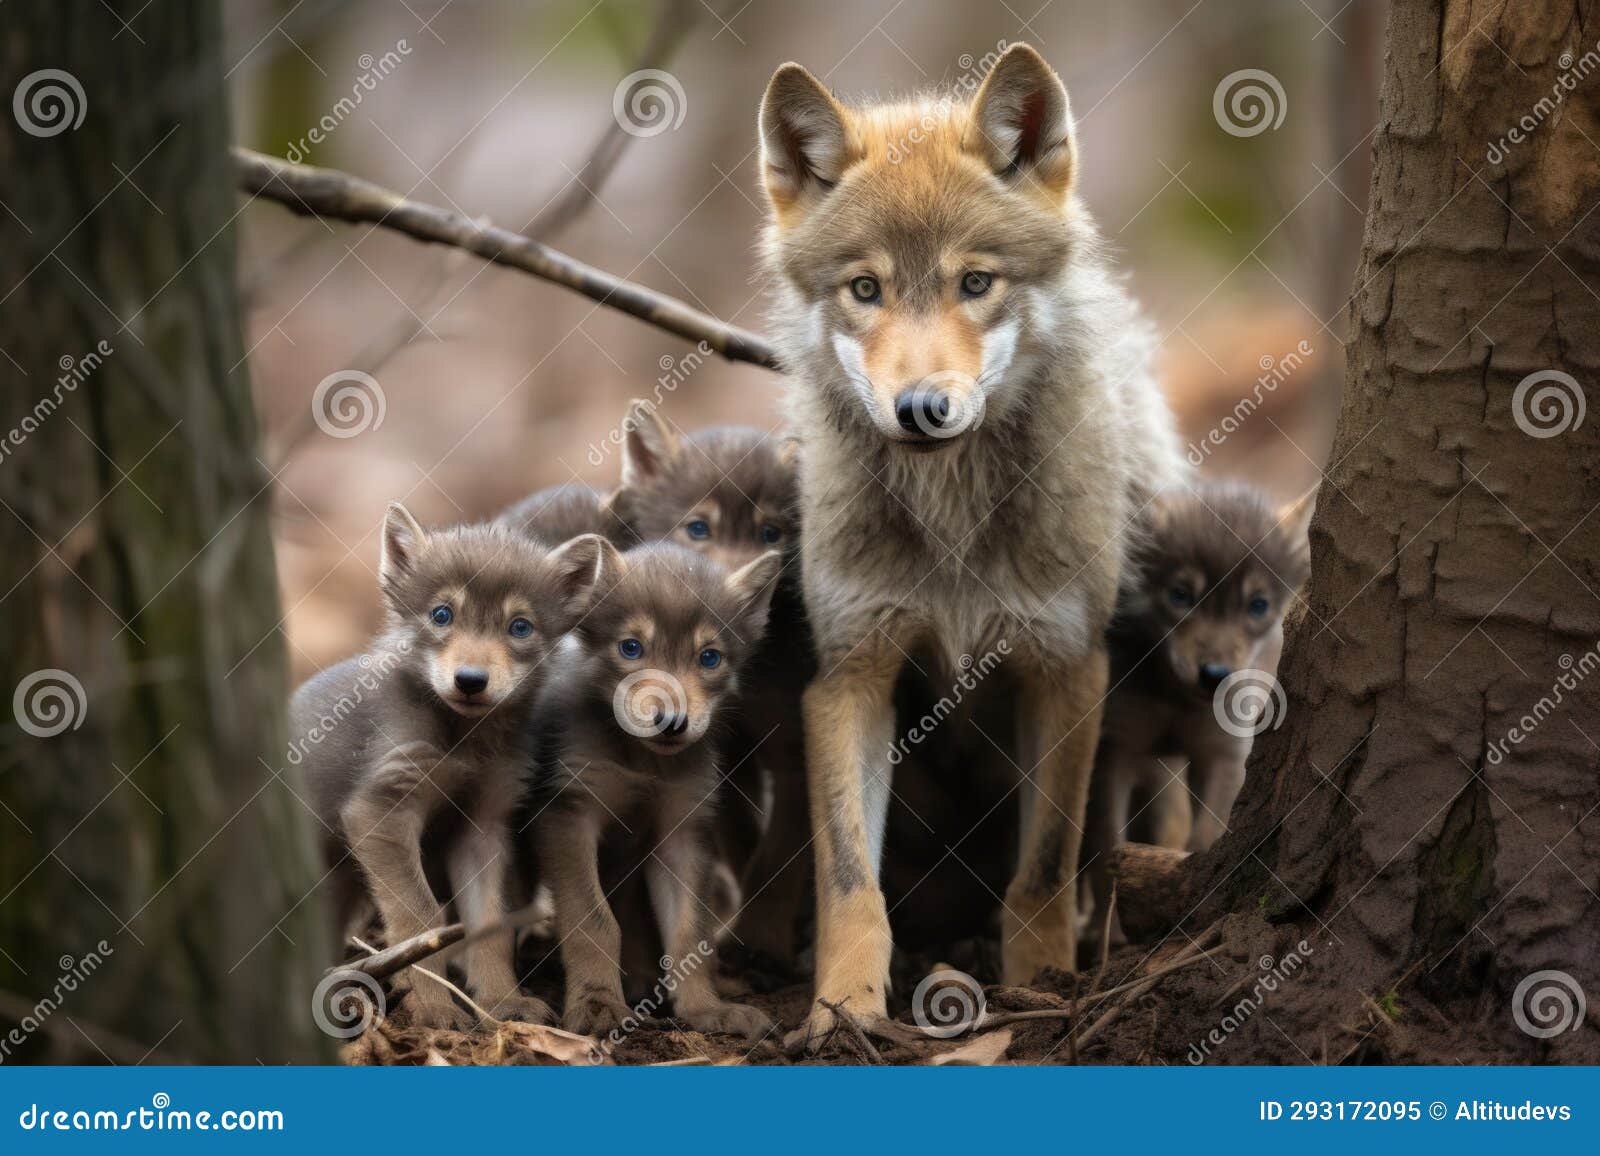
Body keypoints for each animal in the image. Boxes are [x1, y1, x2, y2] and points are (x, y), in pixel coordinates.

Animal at [293, 503, 609, 1029]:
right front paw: (433, 1007)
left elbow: (490, 924)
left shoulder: (482, 826)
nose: (471, 680)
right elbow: (419, 919)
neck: (465, 741)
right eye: (442, 615)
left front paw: (503, 1002)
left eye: (520, 626)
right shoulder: (381, 810)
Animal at [531, 540, 781, 1040]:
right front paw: (597, 1003)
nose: (672, 721)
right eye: (631, 647)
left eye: (710, 657)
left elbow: (690, 931)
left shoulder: (682, 830)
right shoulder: (569, 815)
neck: (643, 761)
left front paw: (706, 1009)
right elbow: (594, 919)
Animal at [756, 43, 1189, 1046]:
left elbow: (1043, 870)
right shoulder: (851, 678)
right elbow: (852, 885)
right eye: (866, 289)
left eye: (976, 283)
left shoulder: (1064, 667)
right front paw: (842, 1014)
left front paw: (1042, 988)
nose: (923, 408)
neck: (951, 520)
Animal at [1085, 484, 1313, 941]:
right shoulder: (1113, 751)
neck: (1177, 699)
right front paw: (1109, 937)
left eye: (1258, 605)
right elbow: (1106, 854)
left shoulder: (1222, 754)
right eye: (1180, 595)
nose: (1214, 675)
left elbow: (1207, 834)